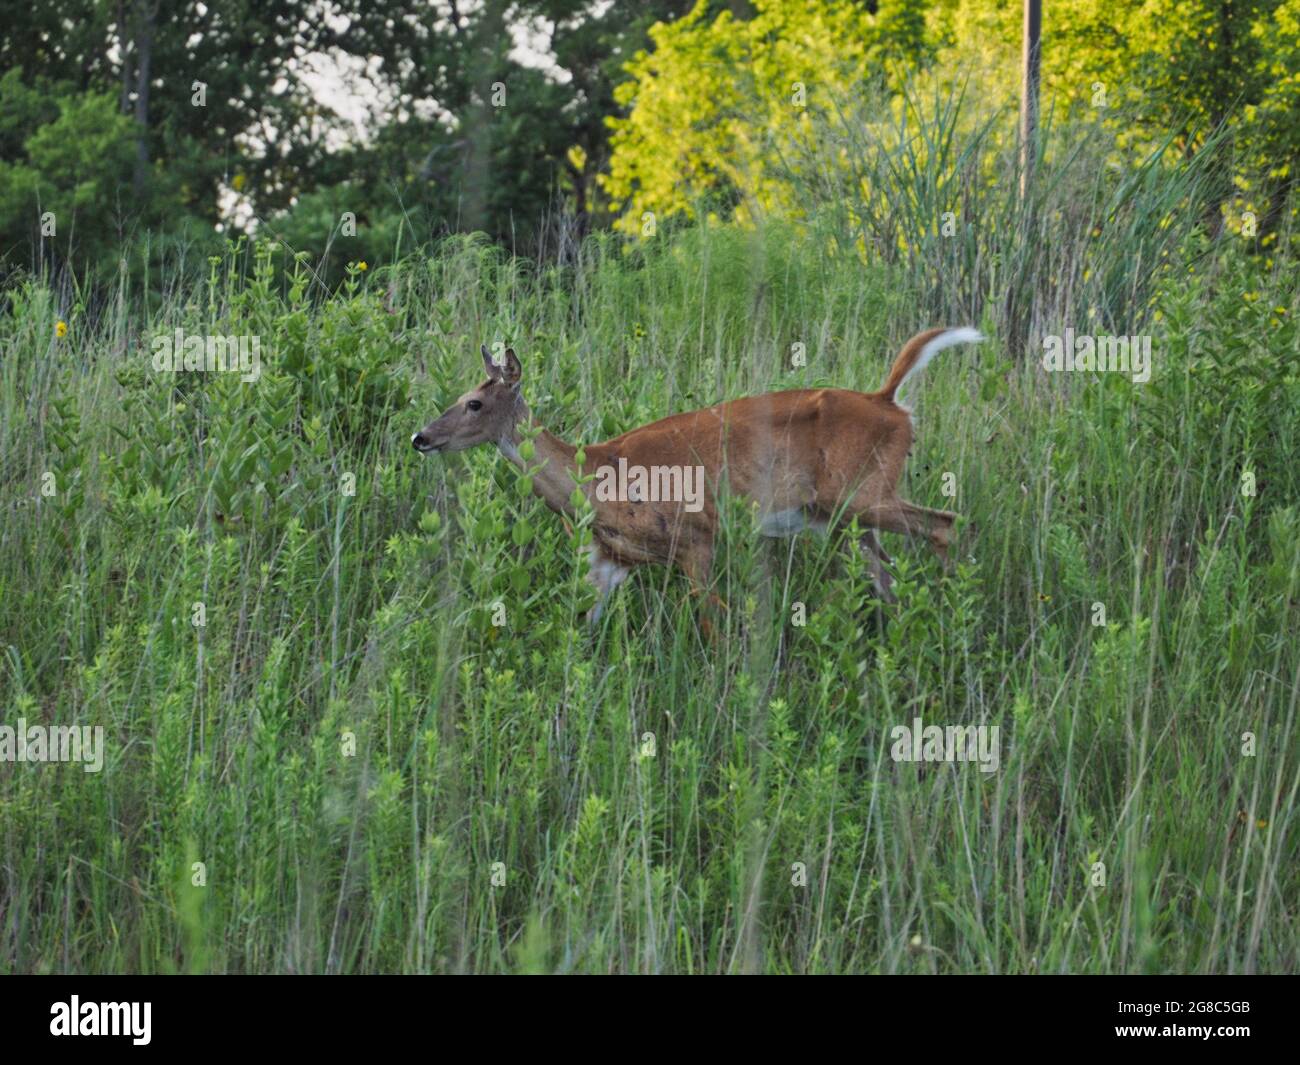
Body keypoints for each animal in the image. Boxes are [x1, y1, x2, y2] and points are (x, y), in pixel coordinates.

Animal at [413, 327, 983, 629]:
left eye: (474, 402)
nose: (420, 436)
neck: (596, 476)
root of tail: (890, 402)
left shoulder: (697, 536)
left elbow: (716, 620)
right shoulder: (611, 559)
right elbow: (581, 627)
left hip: (864, 493)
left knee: (946, 522)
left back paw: (955, 617)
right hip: (847, 517)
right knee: (887, 573)